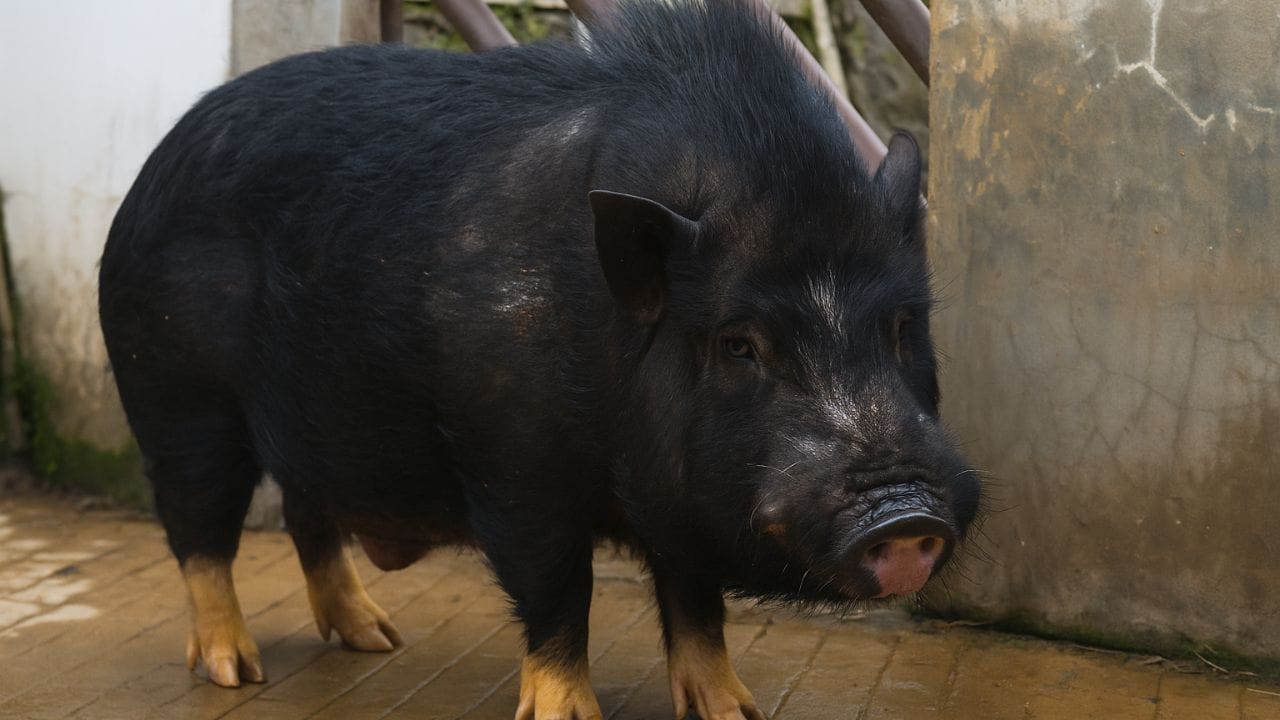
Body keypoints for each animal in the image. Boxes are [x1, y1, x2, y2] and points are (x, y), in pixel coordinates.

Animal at [97, 0, 981, 717]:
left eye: (901, 325)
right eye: (740, 343)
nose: (906, 516)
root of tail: (149, 173)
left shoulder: (681, 500)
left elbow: (696, 603)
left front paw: (737, 712)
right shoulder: (516, 468)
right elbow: (558, 592)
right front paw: (567, 715)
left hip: (307, 422)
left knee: (309, 515)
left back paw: (376, 638)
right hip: (175, 396)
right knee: (200, 532)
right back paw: (233, 671)